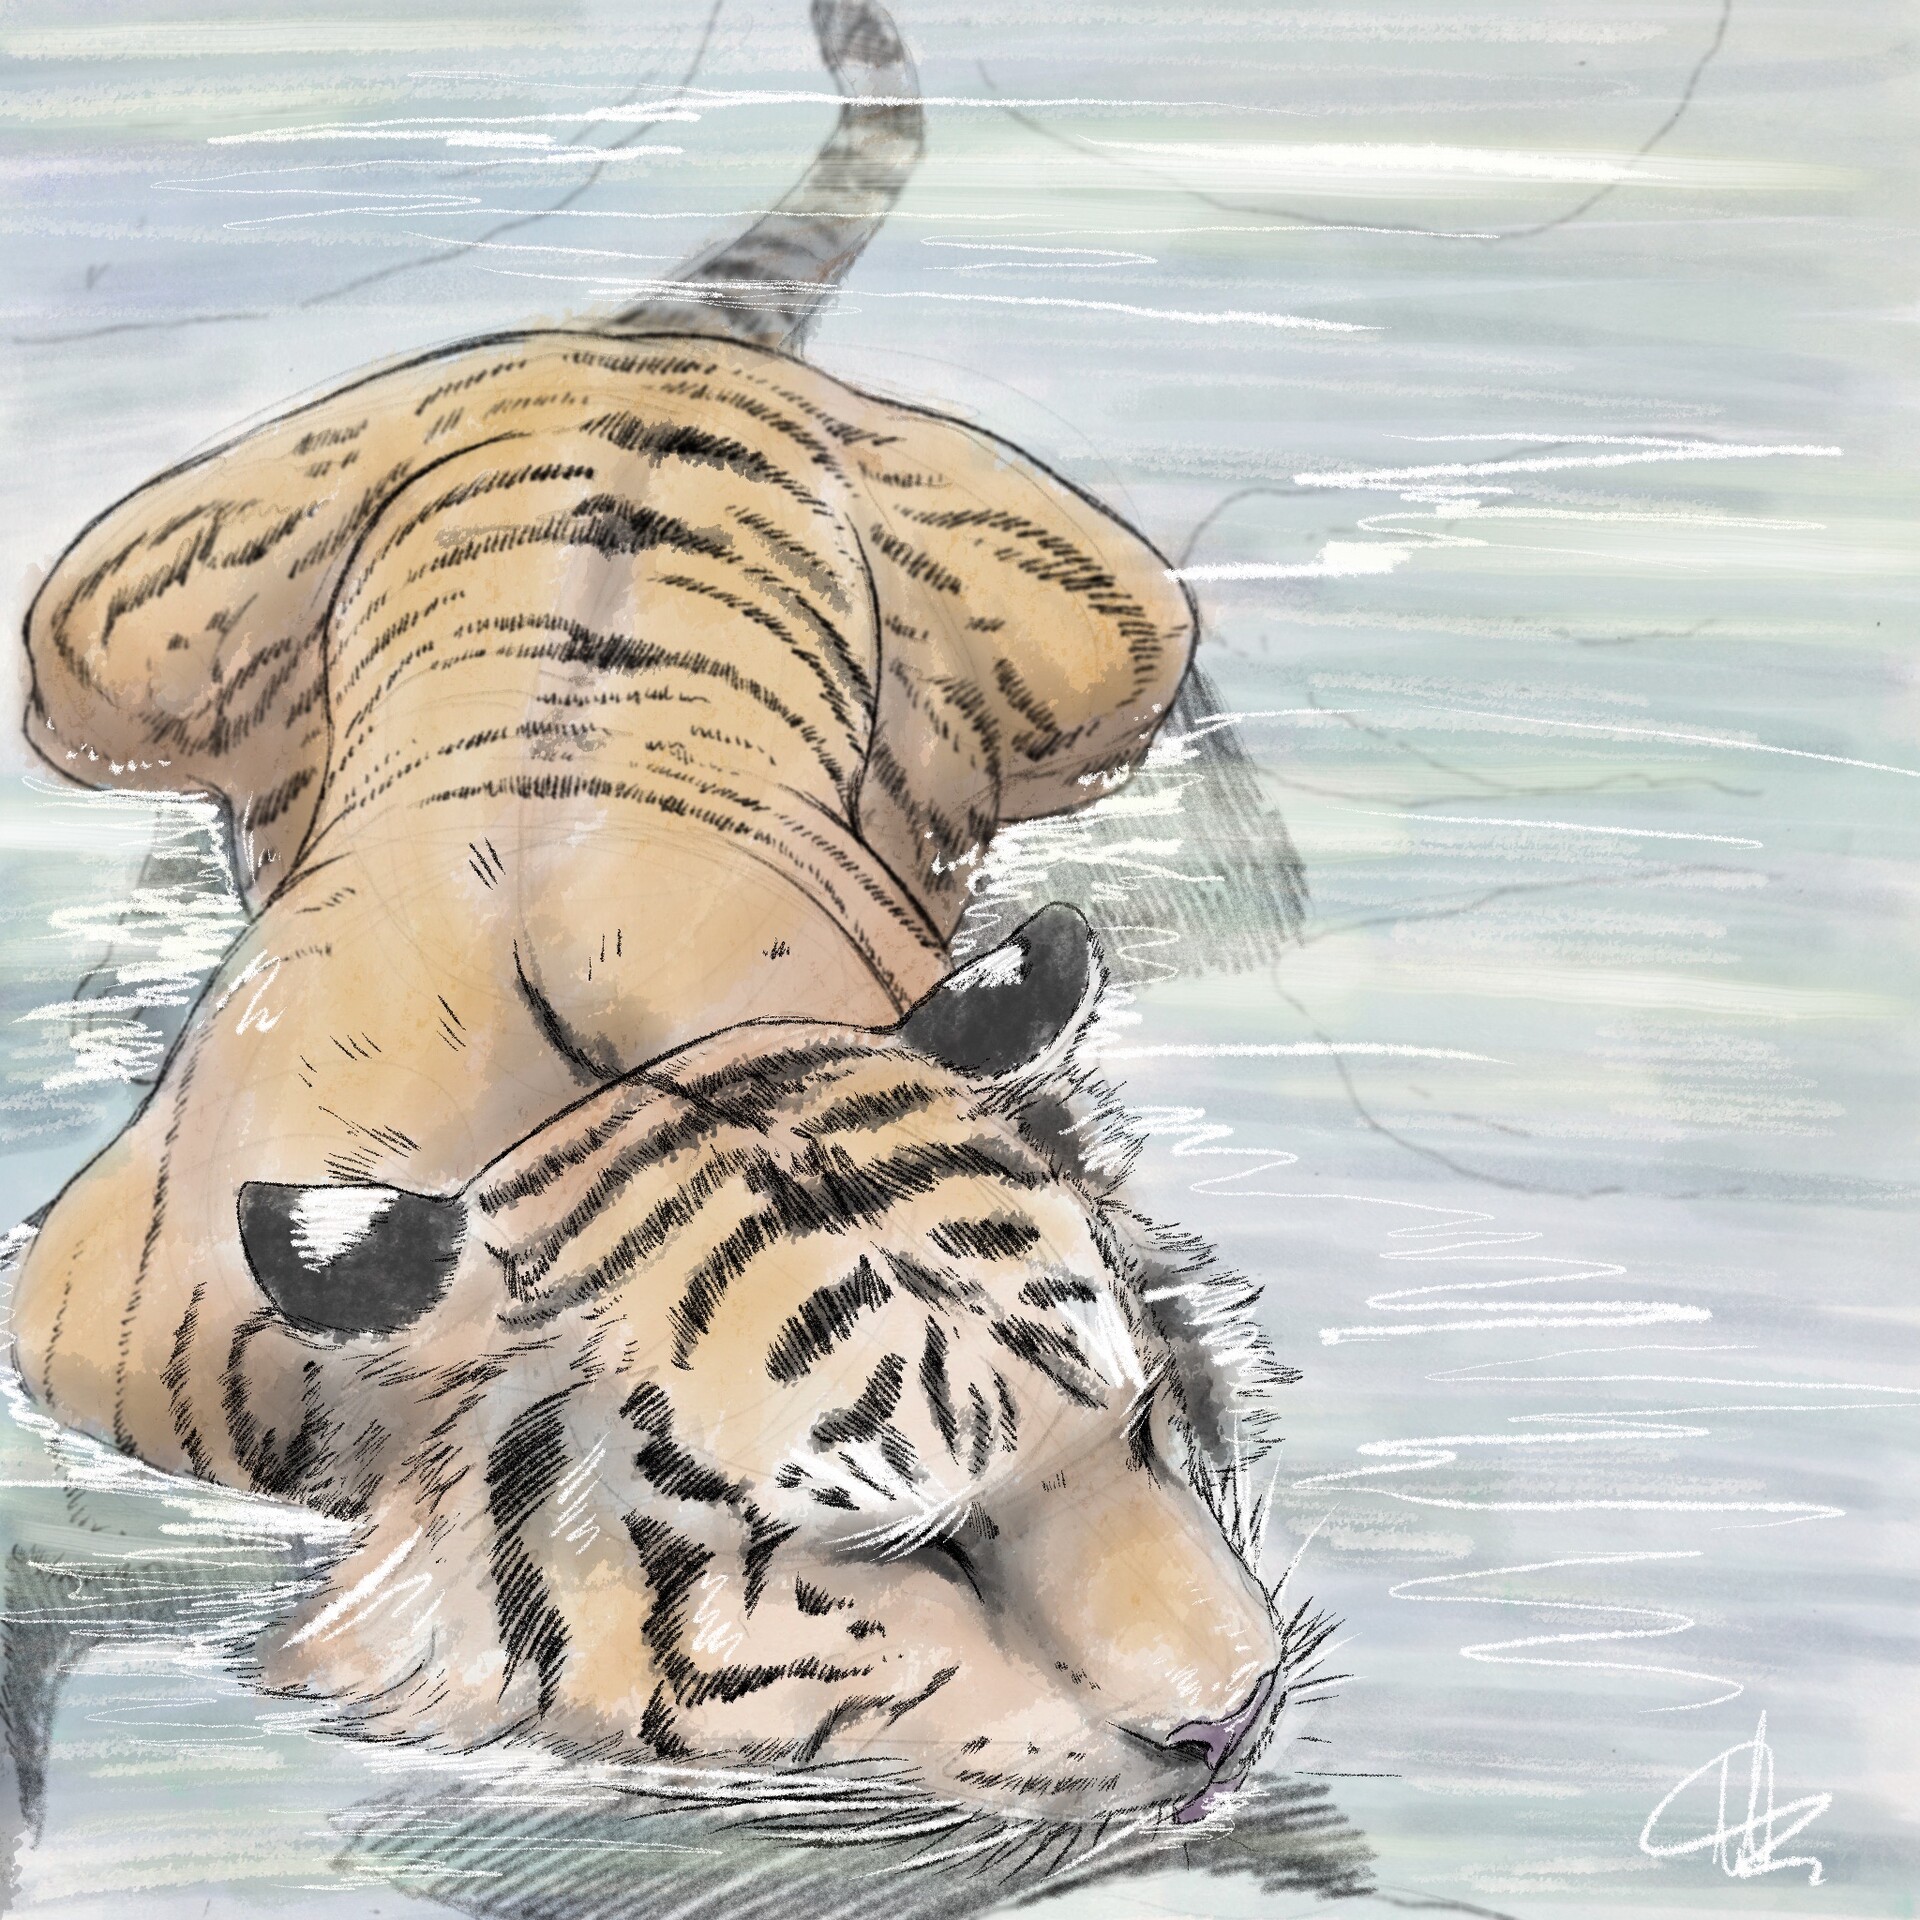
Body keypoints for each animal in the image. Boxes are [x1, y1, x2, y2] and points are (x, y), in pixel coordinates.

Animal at [5, 0, 1301, 1826]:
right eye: (907, 1548)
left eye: (1138, 1427)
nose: (1235, 1724)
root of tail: (665, 336)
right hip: (88, 658)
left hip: (1110, 648)